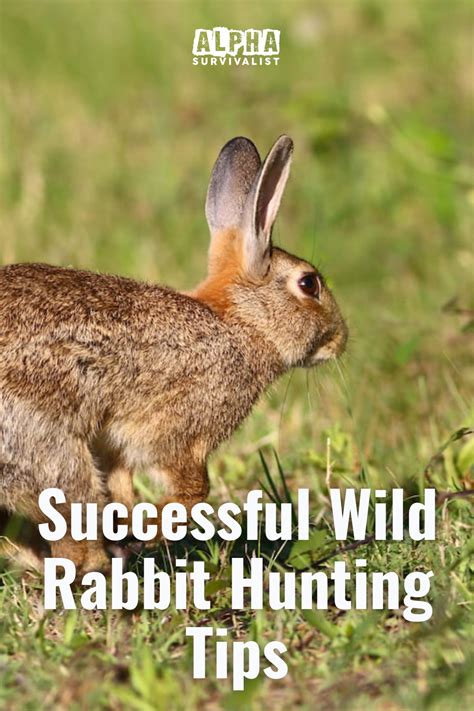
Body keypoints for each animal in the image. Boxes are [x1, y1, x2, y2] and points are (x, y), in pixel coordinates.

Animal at [0, 135, 348, 573]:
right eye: (309, 284)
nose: (341, 340)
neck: (240, 324)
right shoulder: (179, 428)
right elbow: (193, 490)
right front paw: (145, 529)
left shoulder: (113, 442)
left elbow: (121, 480)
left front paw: (126, 525)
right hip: (49, 449)